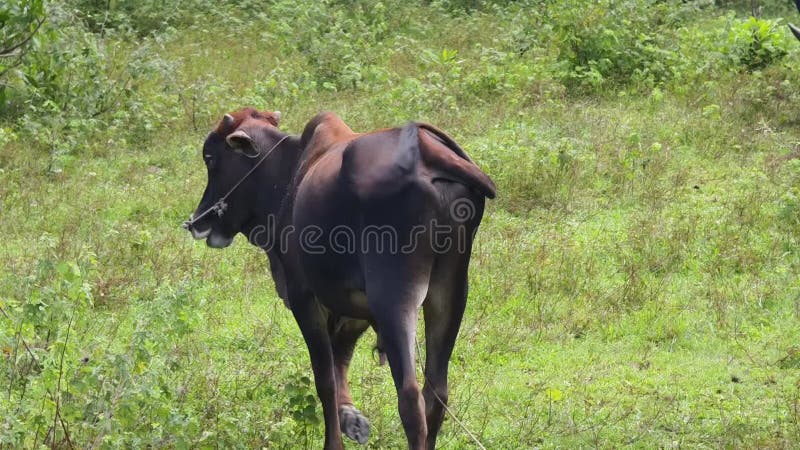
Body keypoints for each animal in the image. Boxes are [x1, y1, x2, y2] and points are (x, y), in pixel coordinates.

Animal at [182, 107, 495, 450]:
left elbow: (326, 380)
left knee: (410, 398)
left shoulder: (304, 296)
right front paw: (351, 418)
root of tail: (426, 150)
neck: (288, 178)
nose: (196, 221)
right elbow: (340, 359)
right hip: (450, 291)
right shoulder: (352, 306)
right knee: (436, 393)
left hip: (394, 295)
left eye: (210, 157)